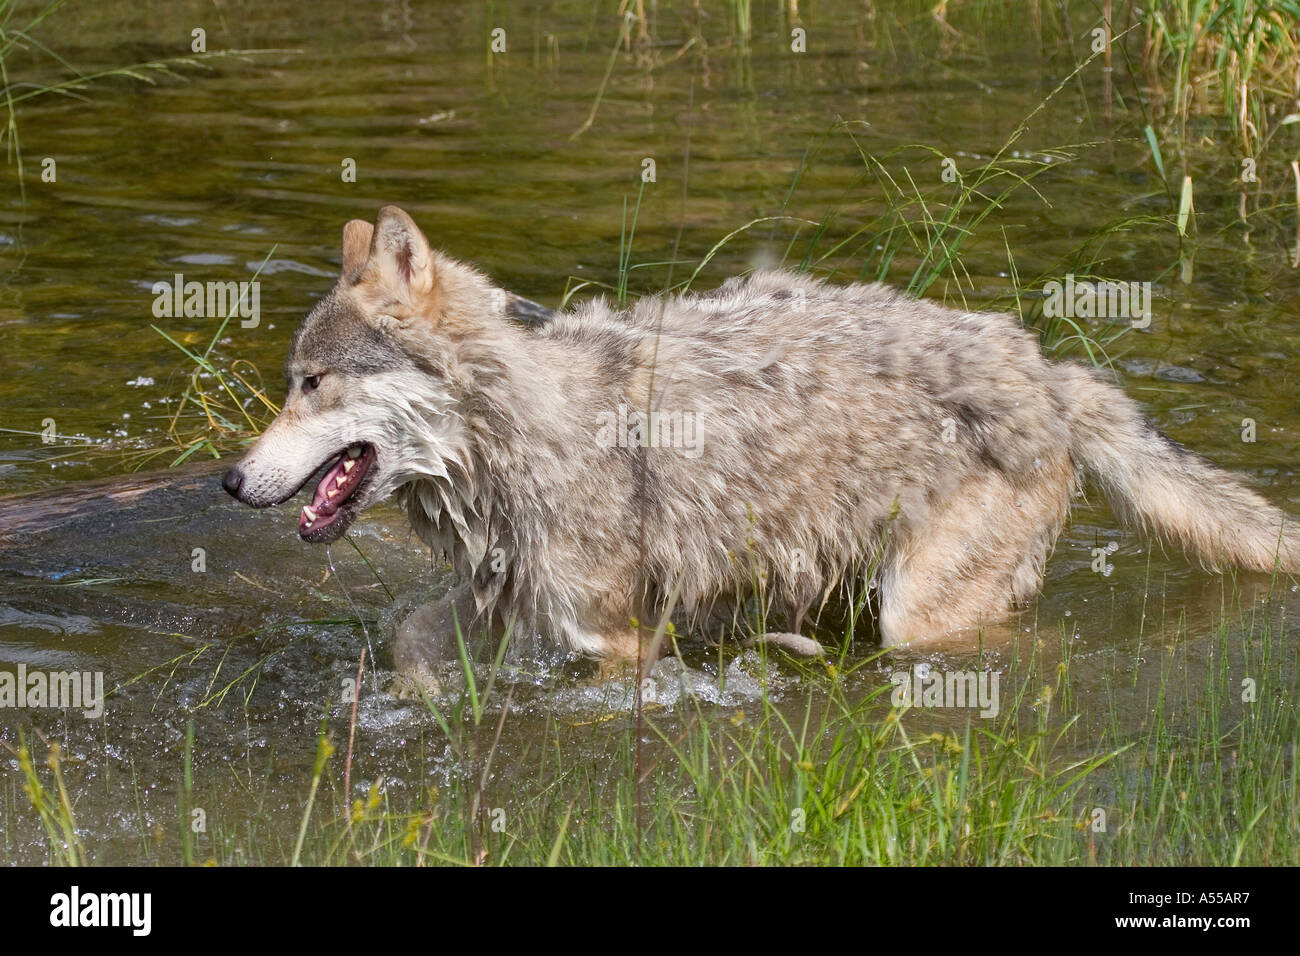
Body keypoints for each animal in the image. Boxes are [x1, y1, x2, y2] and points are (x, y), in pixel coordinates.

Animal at [221, 205, 1300, 684]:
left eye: (310, 383)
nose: (229, 481)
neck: (514, 426)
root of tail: (1047, 369)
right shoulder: (506, 602)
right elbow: (410, 639)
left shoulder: (619, 643)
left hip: (921, 616)